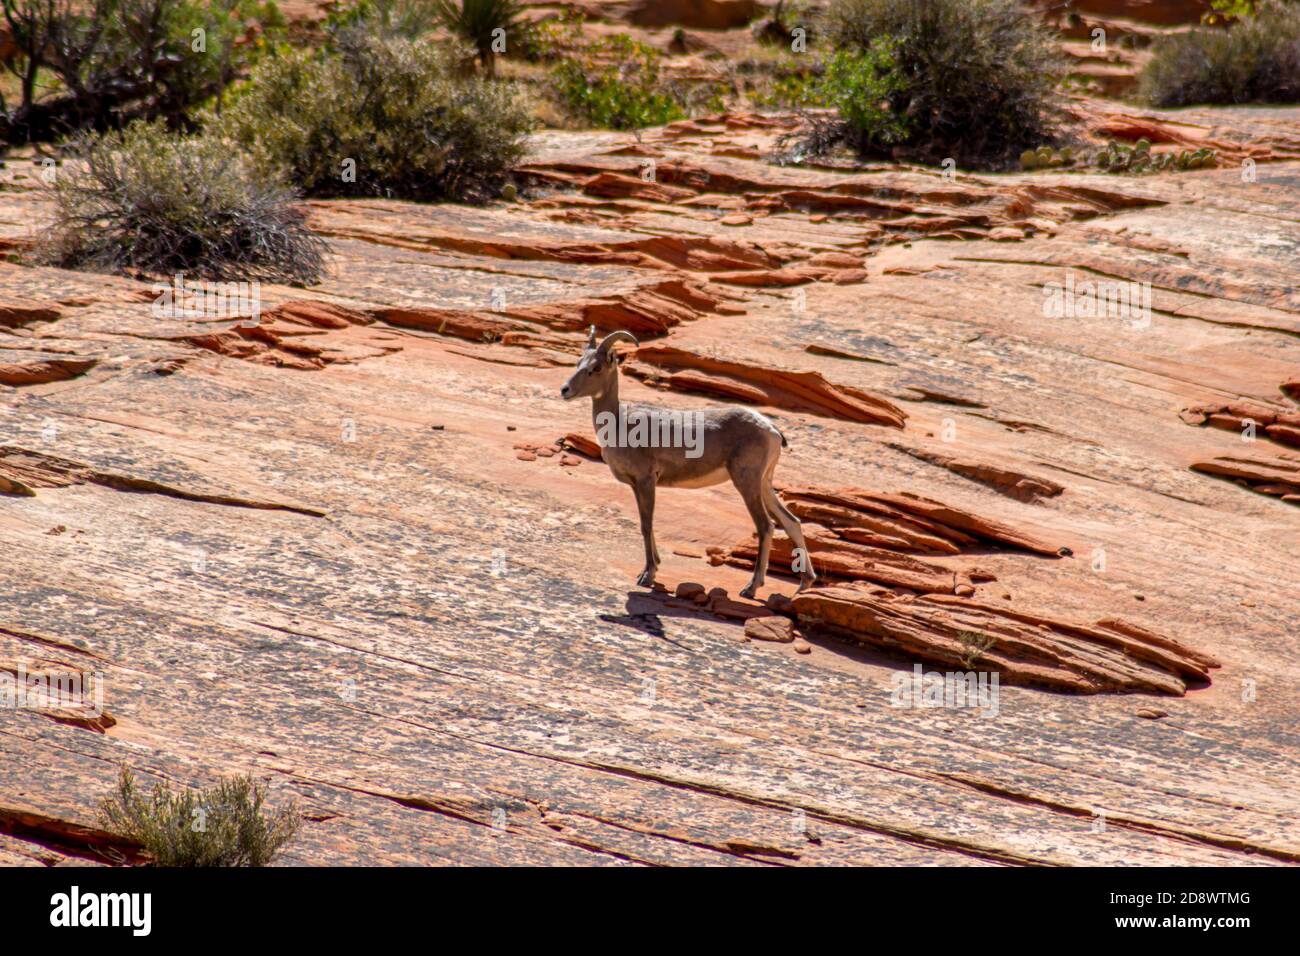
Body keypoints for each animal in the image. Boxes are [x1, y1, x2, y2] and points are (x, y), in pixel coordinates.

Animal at [561, 327, 816, 598]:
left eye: (596, 367)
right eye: (578, 362)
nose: (565, 390)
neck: (620, 424)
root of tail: (771, 430)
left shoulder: (646, 481)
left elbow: (646, 525)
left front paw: (647, 576)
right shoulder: (637, 486)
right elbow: (646, 524)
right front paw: (653, 569)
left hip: (746, 482)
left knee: (766, 526)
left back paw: (751, 588)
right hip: (764, 484)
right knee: (792, 522)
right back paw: (804, 583)